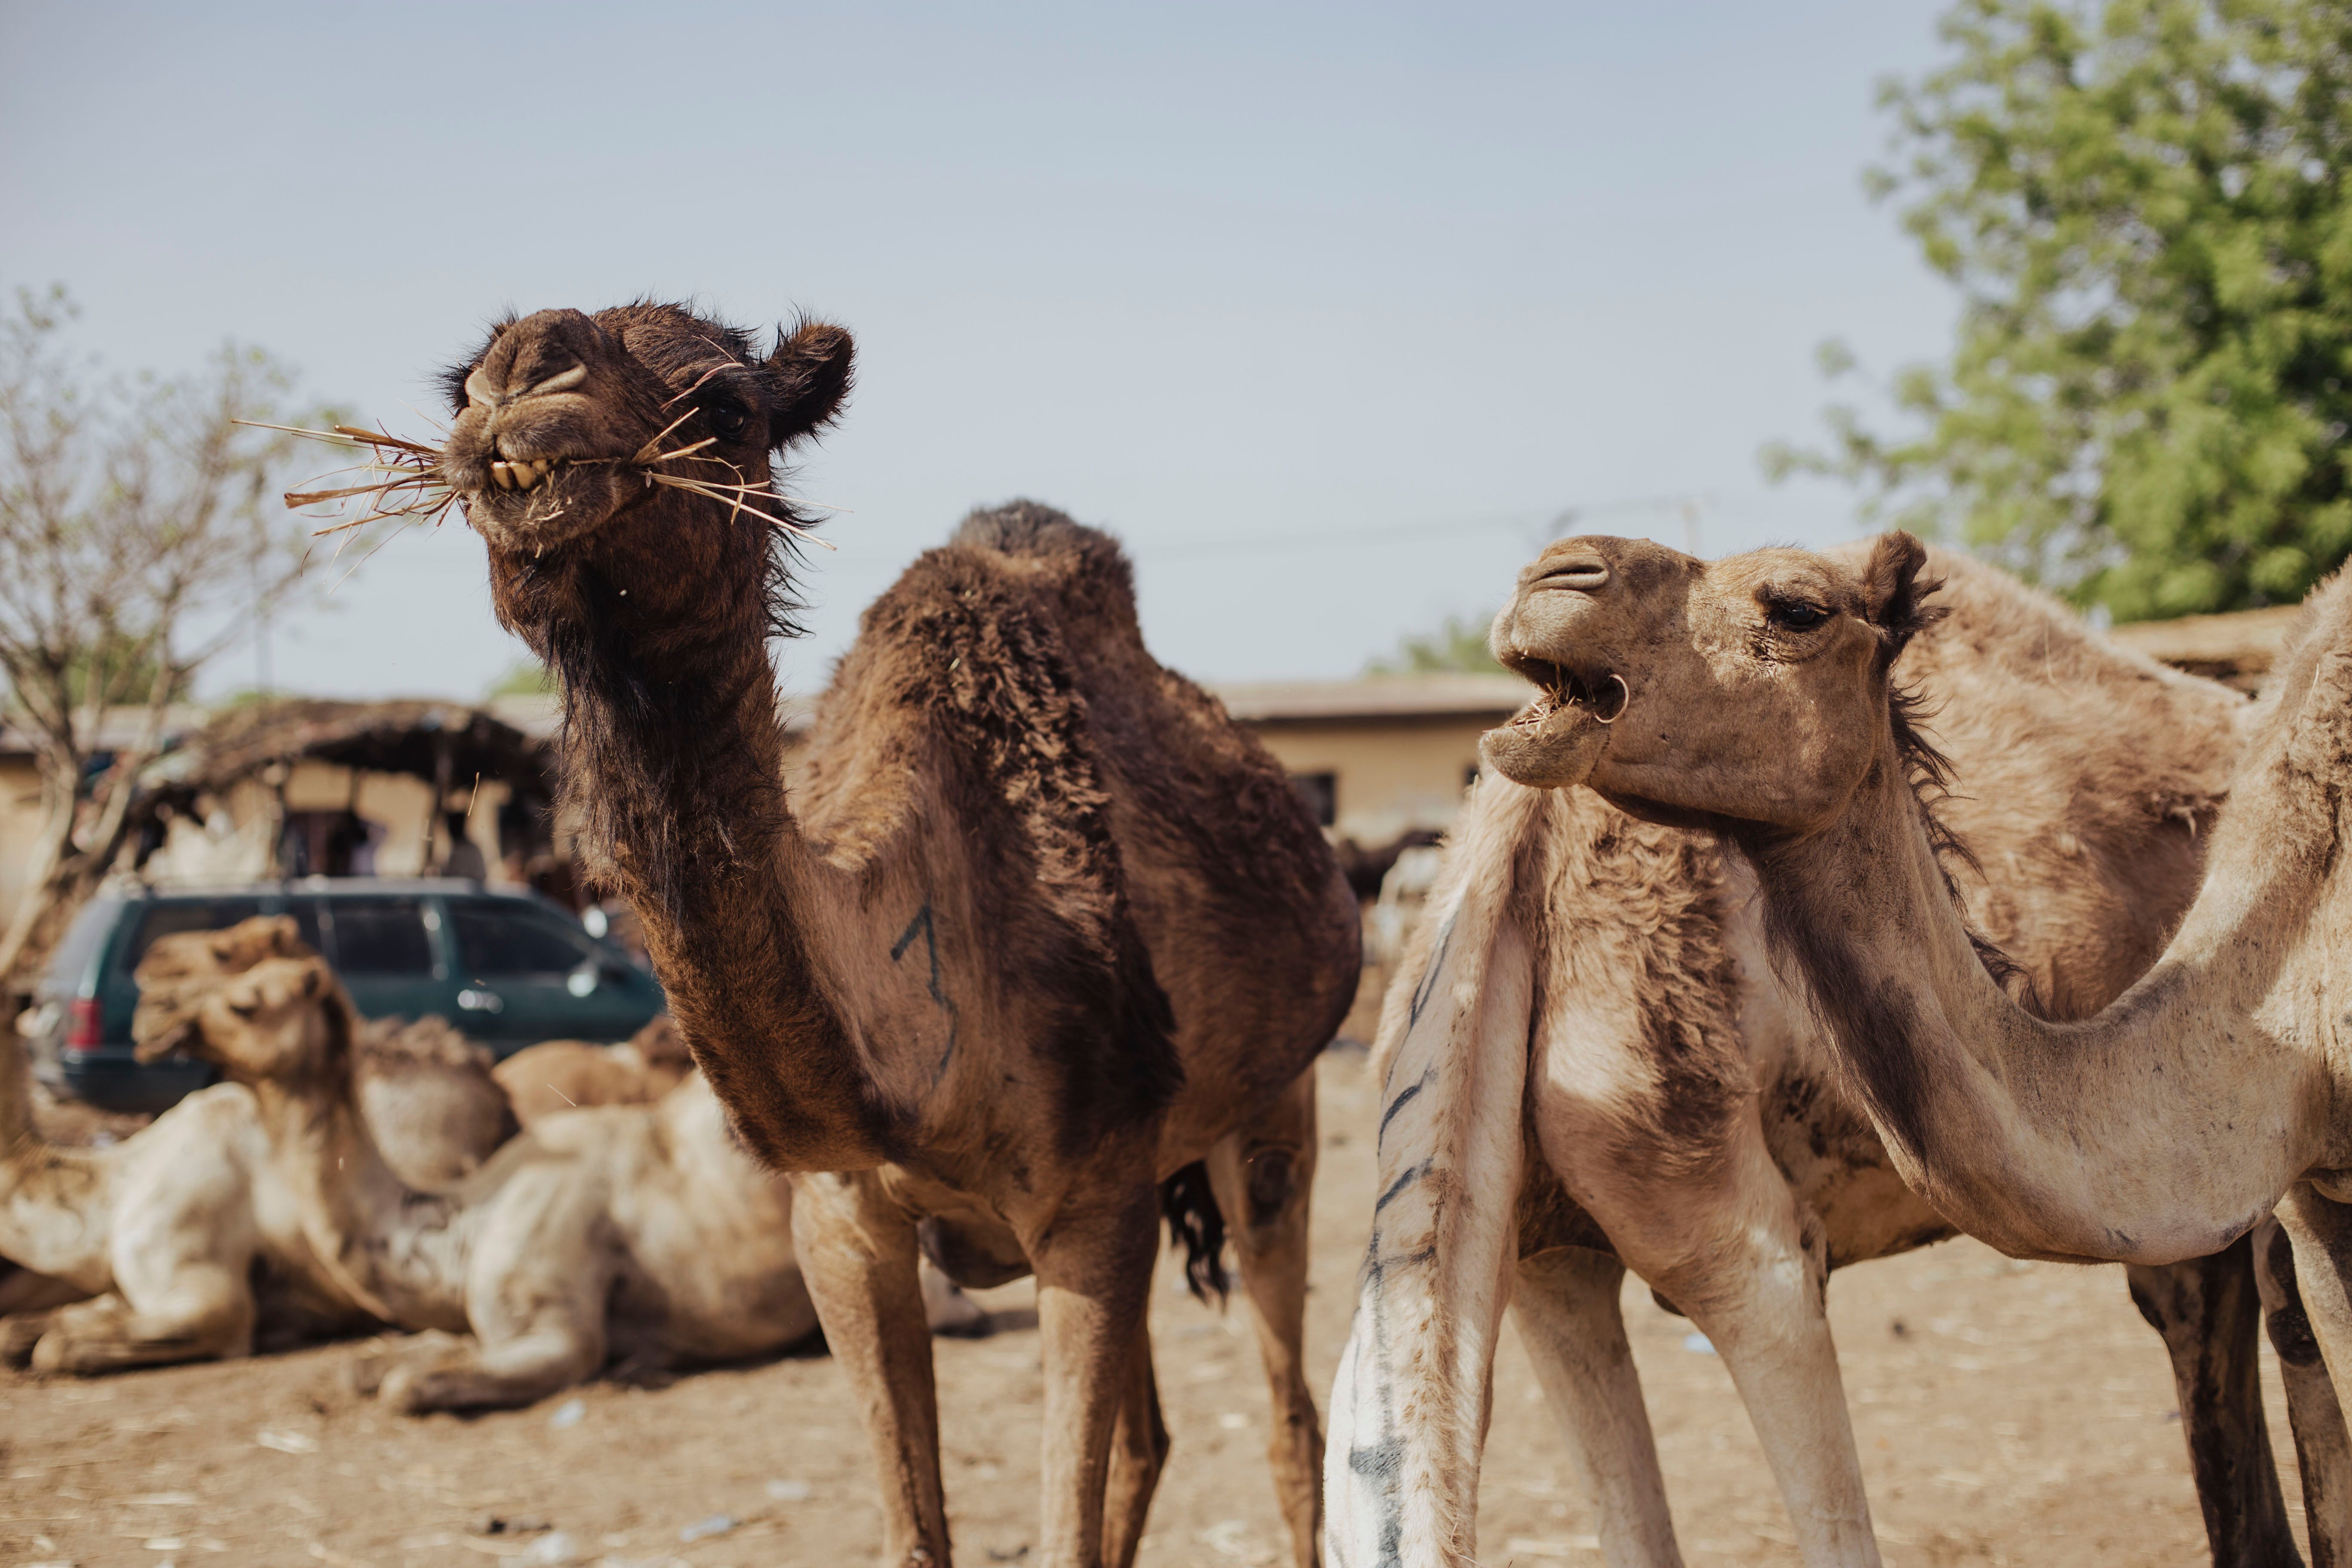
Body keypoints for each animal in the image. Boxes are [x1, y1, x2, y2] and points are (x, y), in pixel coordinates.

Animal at [428, 302, 1360, 1568]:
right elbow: (917, 1528)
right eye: (459, 387)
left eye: (728, 409)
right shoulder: (840, 1219)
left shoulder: (1093, 1210)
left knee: (1287, 1416)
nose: (523, 381)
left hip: (1271, 1113)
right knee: (1149, 1442)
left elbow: (1064, 1523)